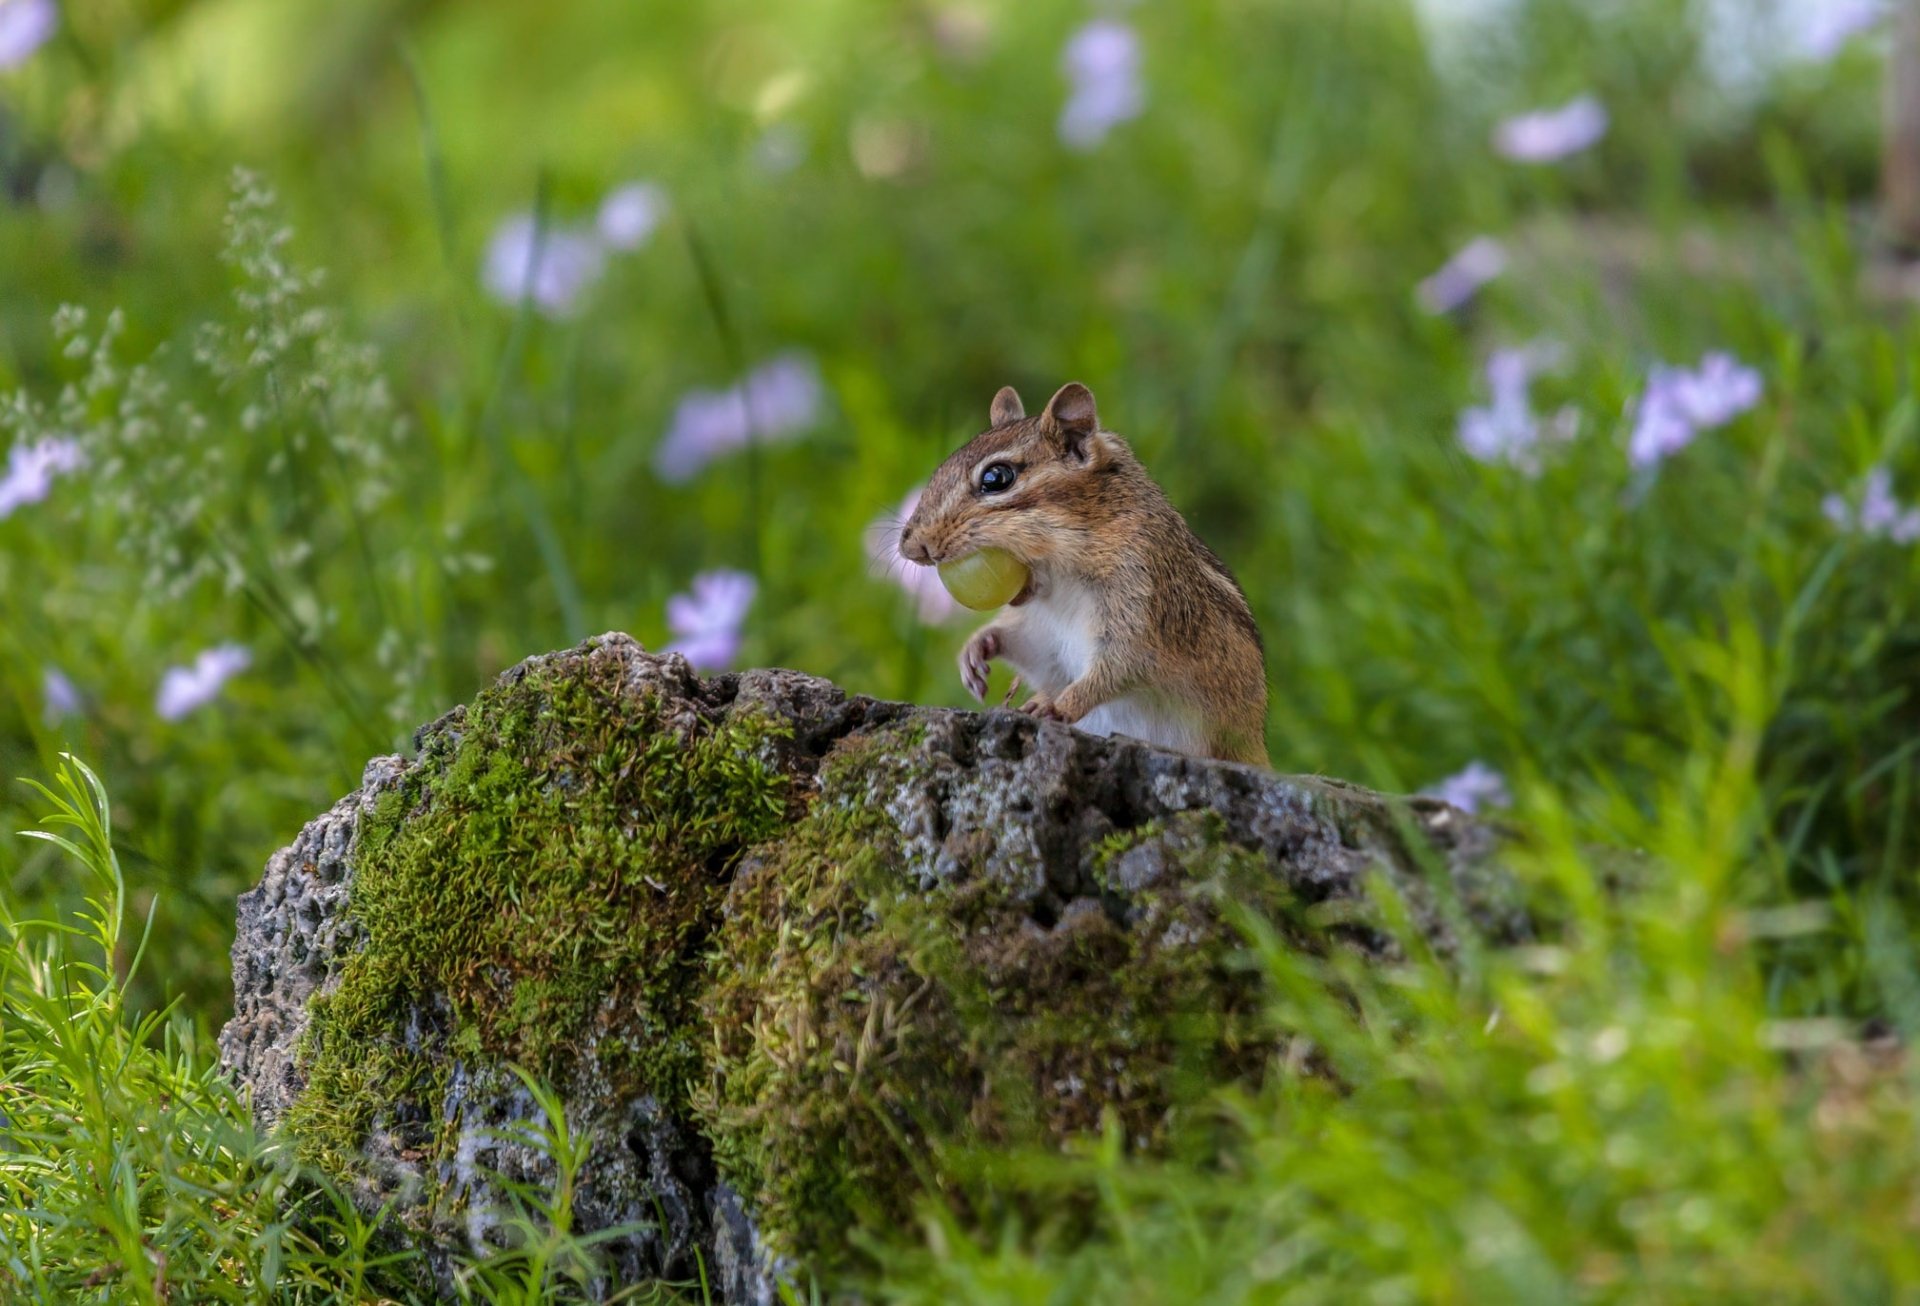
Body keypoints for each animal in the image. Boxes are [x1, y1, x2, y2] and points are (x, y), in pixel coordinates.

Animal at [898, 382, 1270, 768]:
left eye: (996, 478)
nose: (910, 546)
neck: (1059, 575)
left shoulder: (1139, 604)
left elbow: (1119, 667)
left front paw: (1059, 706)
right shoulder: (1041, 631)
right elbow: (1026, 647)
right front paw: (976, 650)